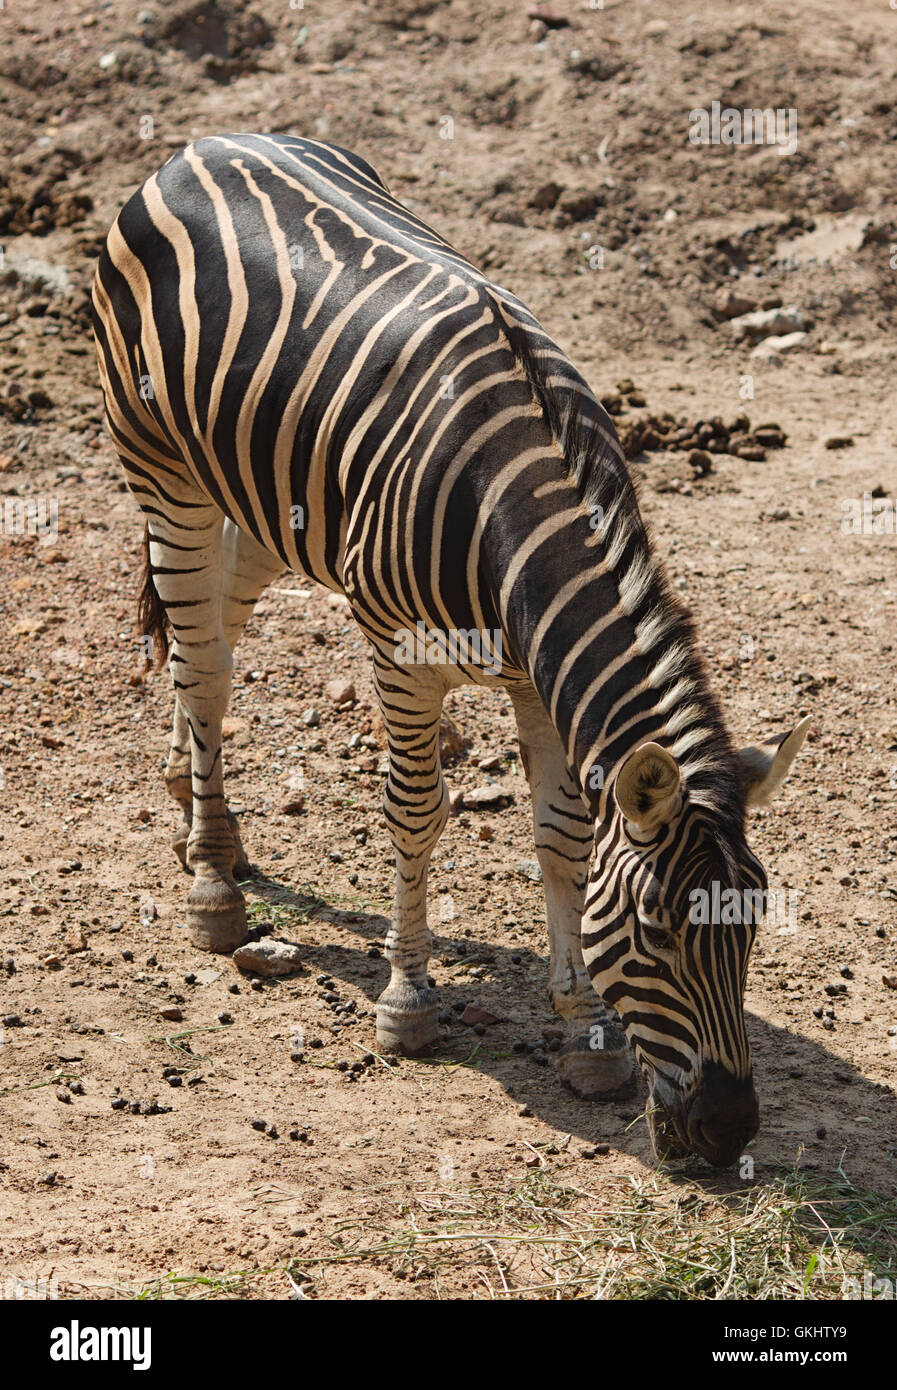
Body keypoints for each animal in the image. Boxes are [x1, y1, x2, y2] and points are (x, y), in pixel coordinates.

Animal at [91, 134, 810, 1167]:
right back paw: (212, 885)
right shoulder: (398, 655)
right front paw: (407, 1002)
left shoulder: (537, 679)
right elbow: (415, 815)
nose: (727, 1134)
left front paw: (583, 1031)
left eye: (751, 926)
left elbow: (561, 837)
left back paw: (195, 809)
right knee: (204, 665)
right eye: (655, 932)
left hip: (268, 502)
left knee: (216, 632)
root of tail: (207, 144)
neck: (509, 518)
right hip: (165, 475)